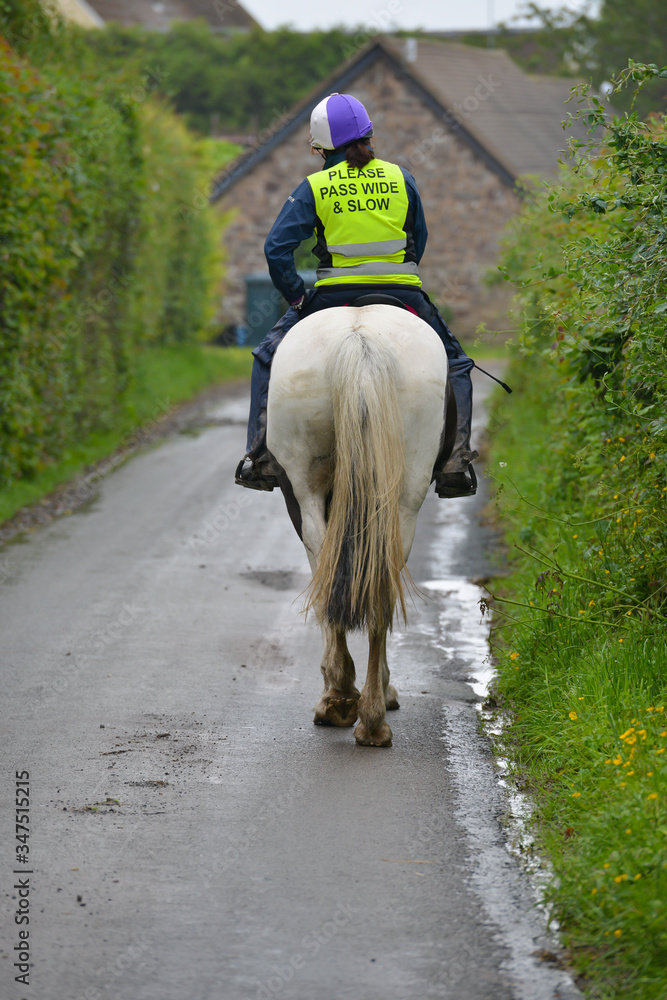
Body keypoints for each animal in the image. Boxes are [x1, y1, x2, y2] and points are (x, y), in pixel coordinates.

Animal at [266, 303, 453, 747]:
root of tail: (359, 340)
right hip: (402, 493)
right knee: (376, 586)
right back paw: (368, 712)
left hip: (305, 486)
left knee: (333, 573)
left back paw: (345, 701)